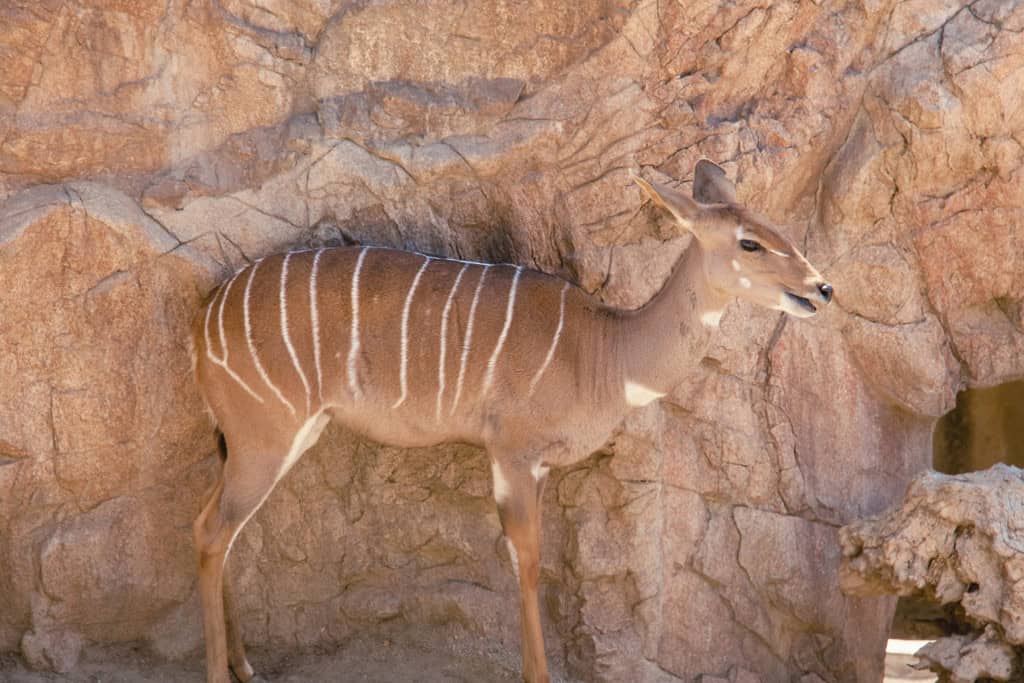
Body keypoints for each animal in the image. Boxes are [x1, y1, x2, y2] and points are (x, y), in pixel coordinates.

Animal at [190, 160, 833, 683]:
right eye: (750, 243)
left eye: (778, 230)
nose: (822, 288)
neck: (604, 352)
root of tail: (208, 313)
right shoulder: (511, 452)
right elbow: (527, 559)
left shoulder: (539, 465)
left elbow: (530, 558)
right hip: (264, 436)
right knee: (212, 531)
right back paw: (225, 671)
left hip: (276, 438)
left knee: (219, 528)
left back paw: (247, 665)